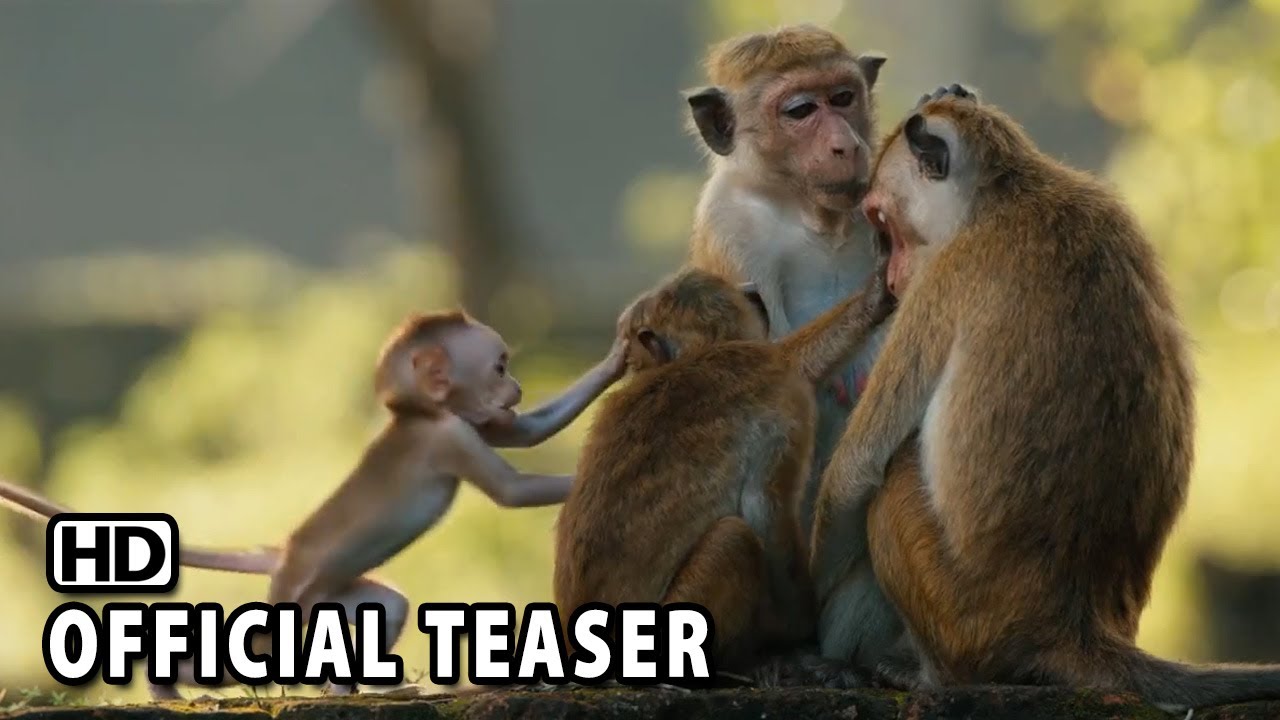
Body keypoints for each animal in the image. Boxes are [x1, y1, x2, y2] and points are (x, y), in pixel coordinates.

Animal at [1, 310, 628, 699]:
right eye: (499, 367)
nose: (515, 387)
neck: (421, 412)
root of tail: (282, 553)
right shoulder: (447, 438)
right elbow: (512, 491)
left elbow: (525, 433)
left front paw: (618, 359)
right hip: (294, 603)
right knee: (262, 646)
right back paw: (163, 684)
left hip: (330, 594)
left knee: (385, 607)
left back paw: (353, 686)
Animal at [553, 259, 895, 677]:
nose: (753, 290)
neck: (697, 357)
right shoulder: (775, 385)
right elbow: (766, 508)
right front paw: (799, 631)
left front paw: (873, 298)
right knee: (733, 540)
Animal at [810, 86, 1280, 708]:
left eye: (887, 222)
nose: (892, 280)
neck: (1010, 193)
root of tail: (1070, 623)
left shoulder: (943, 281)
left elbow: (855, 474)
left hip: (960, 613)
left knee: (889, 488)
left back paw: (933, 675)